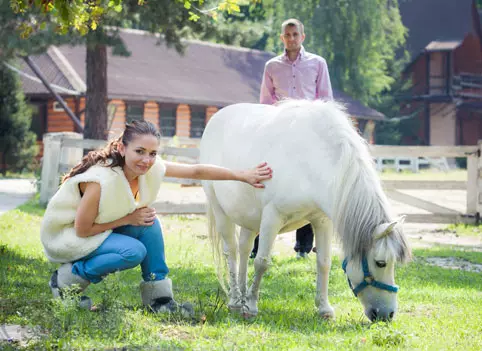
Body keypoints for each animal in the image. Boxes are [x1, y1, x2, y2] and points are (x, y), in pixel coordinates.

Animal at [200, 100, 410, 324]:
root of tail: (217, 118)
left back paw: (241, 298)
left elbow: (324, 262)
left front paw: (324, 309)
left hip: (249, 217)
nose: (387, 315)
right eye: (380, 263)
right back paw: (235, 301)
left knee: (244, 249)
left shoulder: (322, 220)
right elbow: (261, 262)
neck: (312, 160)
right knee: (231, 251)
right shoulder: (272, 217)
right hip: (220, 210)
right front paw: (252, 308)